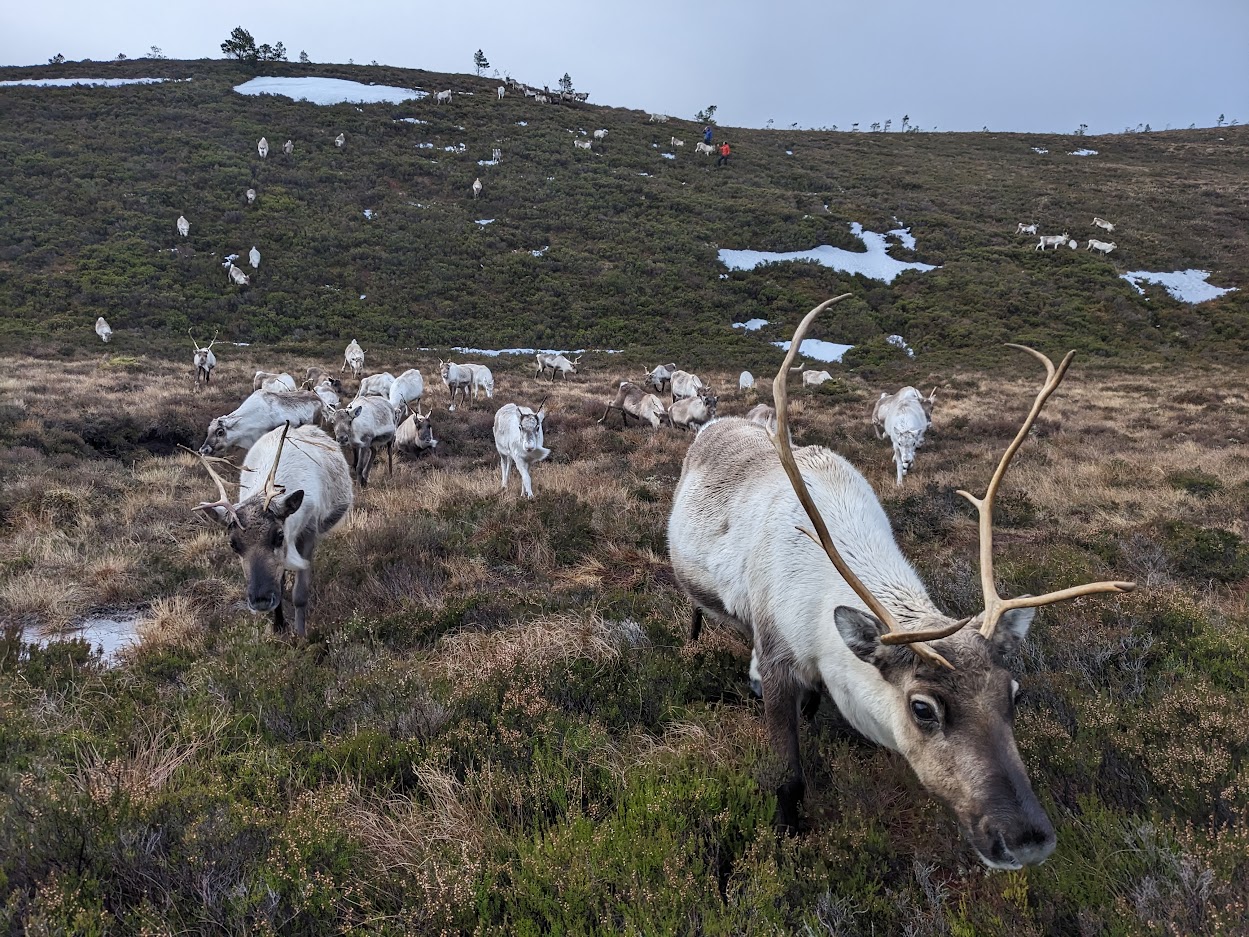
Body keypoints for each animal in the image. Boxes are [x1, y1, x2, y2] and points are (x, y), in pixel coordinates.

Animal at [191, 422, 352, 637]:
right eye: (233, 544)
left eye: (279, 536)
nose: (260, 601)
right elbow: (280, 583)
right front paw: (278, 625)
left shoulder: (308, 533)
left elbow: (300, 592)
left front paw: (301, 634)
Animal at [670, 295, 1134, 869]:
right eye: (922, 708)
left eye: (1015, 694)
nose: (1028, 840)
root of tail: (715, 424)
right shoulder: (778, 658)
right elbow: (788, 776)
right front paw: (786, 829)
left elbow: (814, 705)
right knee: (694, 607)